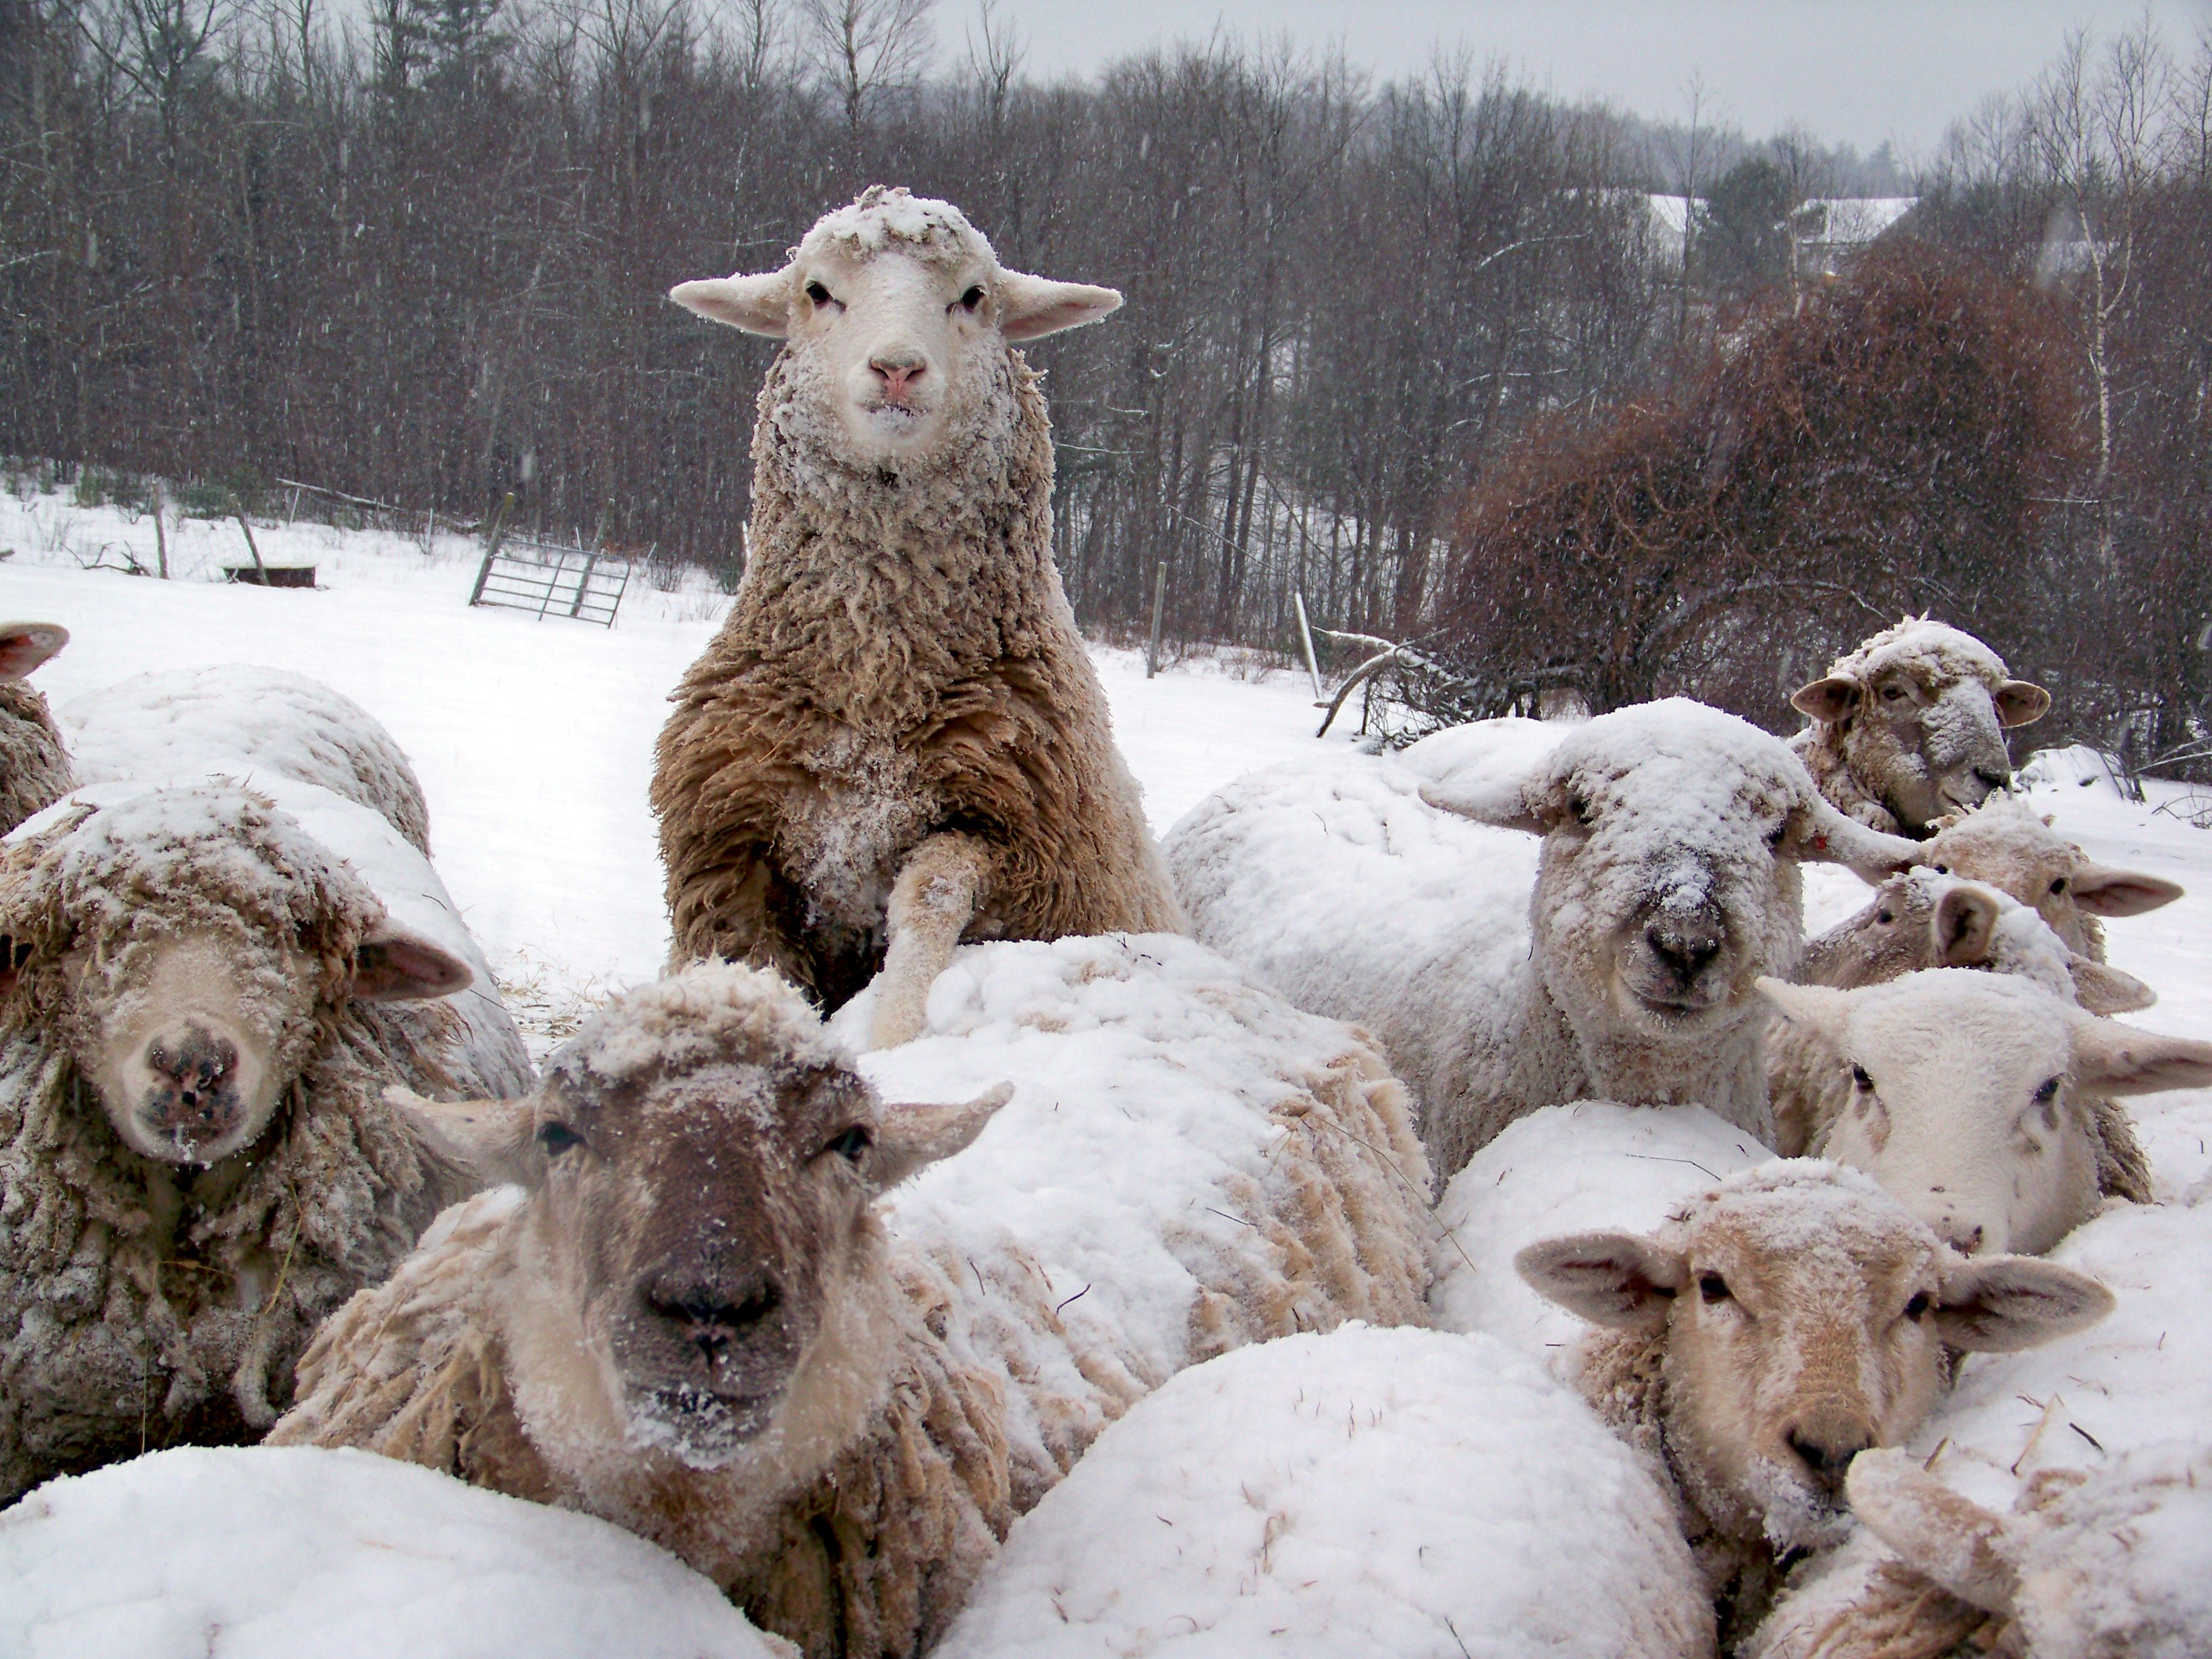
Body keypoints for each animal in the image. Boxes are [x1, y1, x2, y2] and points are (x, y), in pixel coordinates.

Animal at [655, 186, 1180, 1048]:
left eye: (973, 296)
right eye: (817, 291)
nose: (898, 367)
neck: (875, 683)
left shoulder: (1031, 856)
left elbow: (931, 888)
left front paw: (894, 1029)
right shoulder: (729, 861)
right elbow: (754, 972)